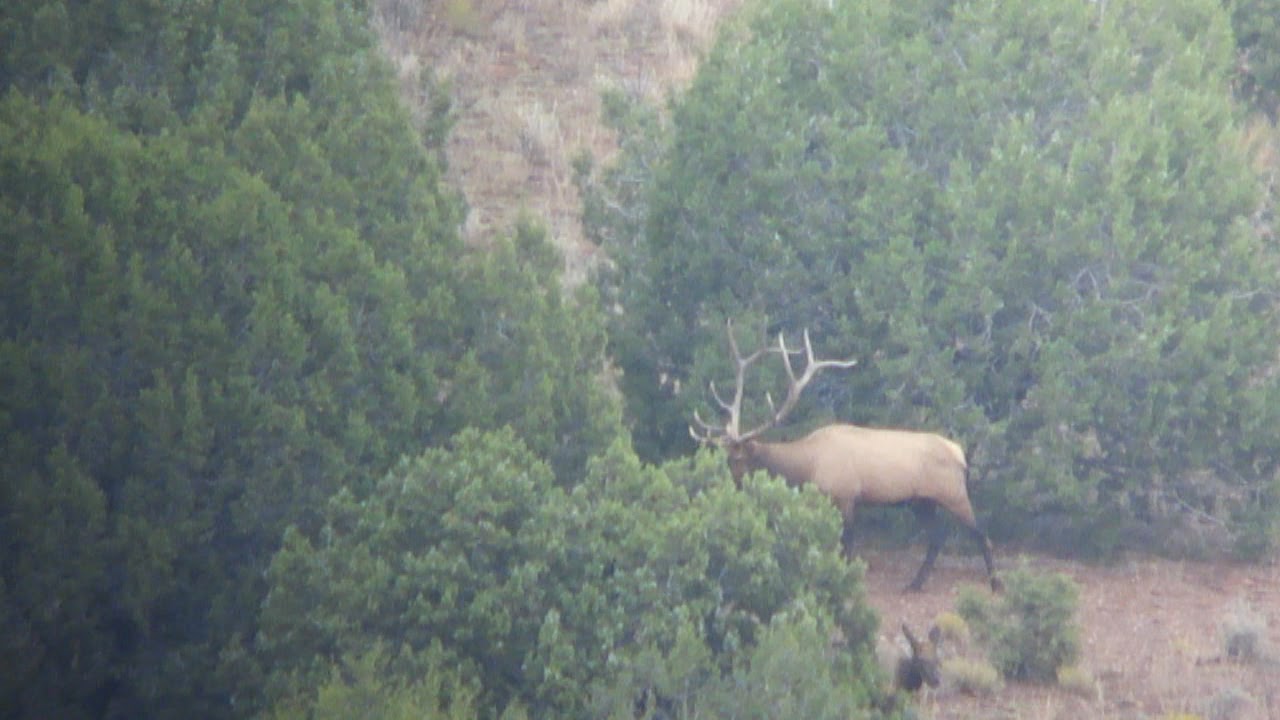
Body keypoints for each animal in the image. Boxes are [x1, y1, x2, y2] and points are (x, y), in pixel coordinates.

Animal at [690, 320, 1000, 592]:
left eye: (739, 459)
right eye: (726, 457)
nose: (727, 484)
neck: (807, 467)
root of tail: (961, 455)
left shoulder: (846, 496)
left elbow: (847, 546)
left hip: (953, 493)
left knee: (981, 533)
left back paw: (995, 583)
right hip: (921, 501)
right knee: (938, 537)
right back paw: (914, 584)